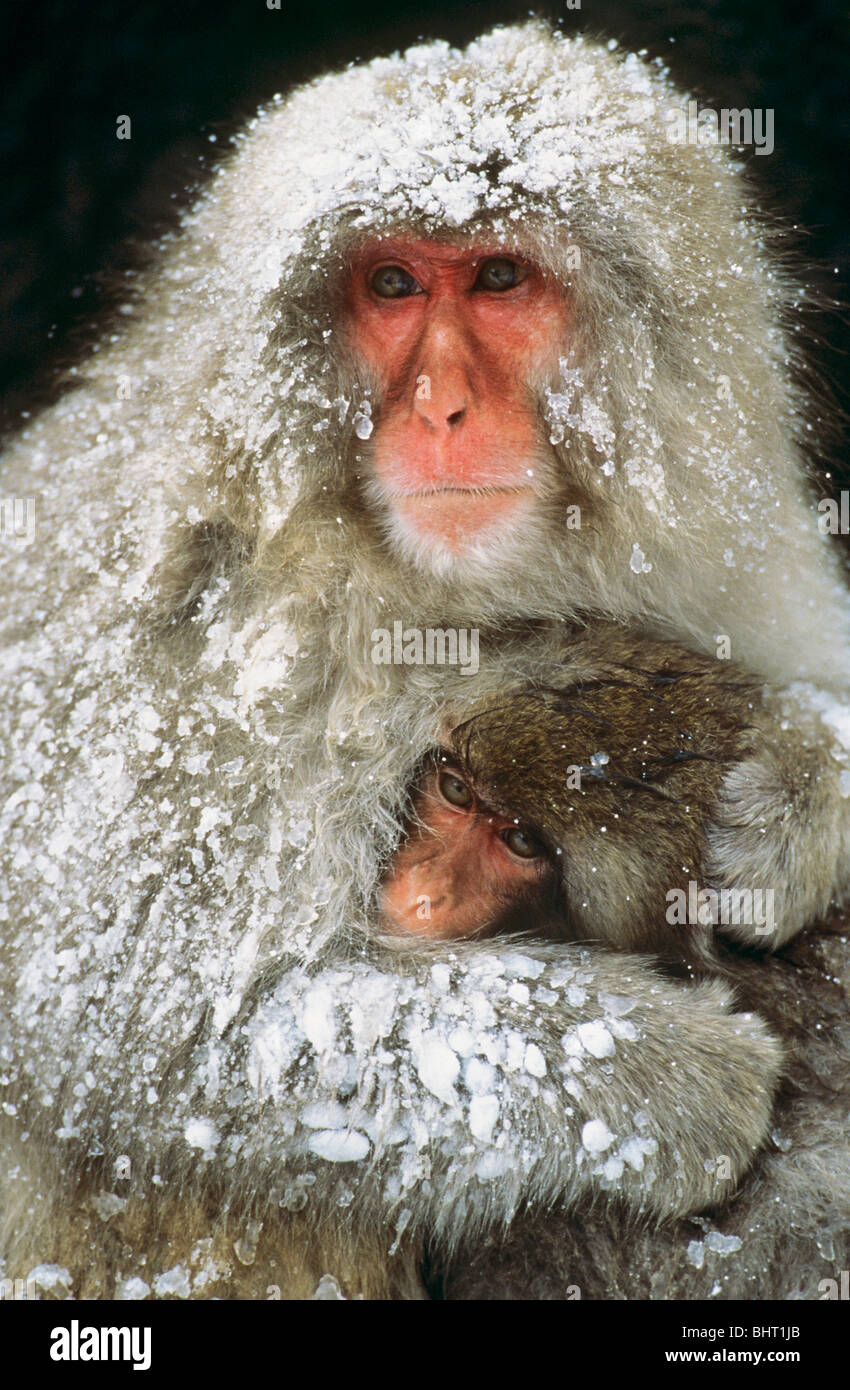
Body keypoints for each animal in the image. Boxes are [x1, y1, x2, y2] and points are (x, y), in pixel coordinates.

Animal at [2, 21, 850, 1300]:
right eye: (392, 285)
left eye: (498, 278)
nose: (441, 408)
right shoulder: (209, 664)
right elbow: (152, 1028)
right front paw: (665, 1077)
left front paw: (799, 789)